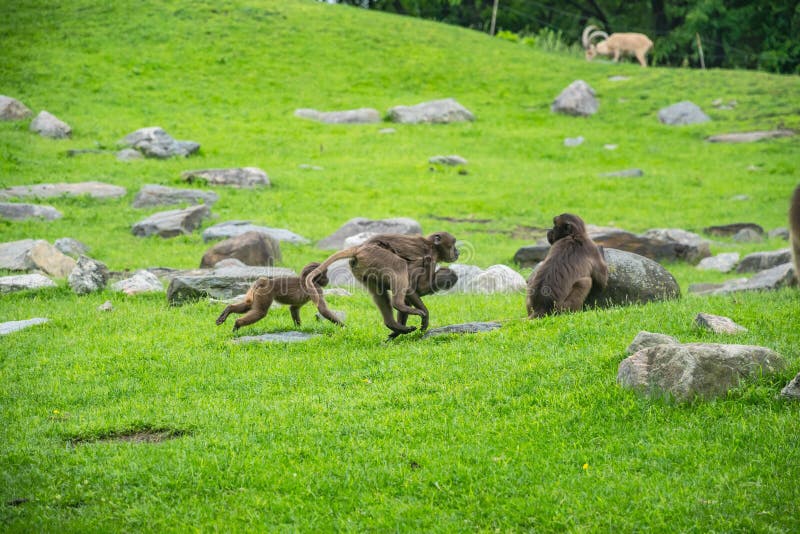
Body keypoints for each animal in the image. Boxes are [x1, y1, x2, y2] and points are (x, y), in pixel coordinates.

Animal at [305, 232, 459, 336]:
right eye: (453, 244)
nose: (458, 252)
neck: (432, 246)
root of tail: (360, 247)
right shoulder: (429, 257)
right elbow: (411, 285)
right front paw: (425, 316)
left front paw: (397, 333)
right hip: (376, 255)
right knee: (399, 265)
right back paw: (398, 305)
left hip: (364, 268)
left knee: (379, 292)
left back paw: (392, 325)